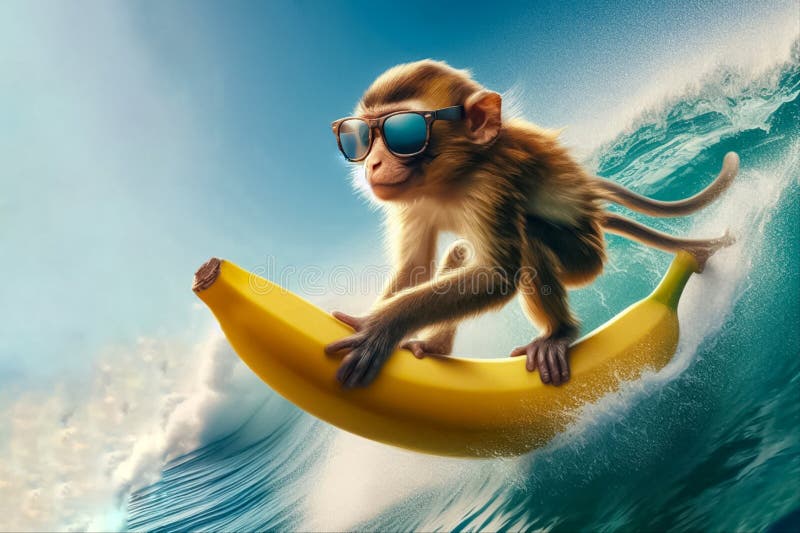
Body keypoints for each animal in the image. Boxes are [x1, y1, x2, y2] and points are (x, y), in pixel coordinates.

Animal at [325, 59, 737, 389]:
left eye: (402, 132)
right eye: (359, 137)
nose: (372, 164)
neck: (451, 179)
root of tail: (593, 216)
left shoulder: (491, 184)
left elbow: (497, 277)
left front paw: (380, 328)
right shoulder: (410, 205)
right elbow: (415, 267)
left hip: (585, 260)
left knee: (532, 239)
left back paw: (559, 333)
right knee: (462, 251)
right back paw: (437, 344)